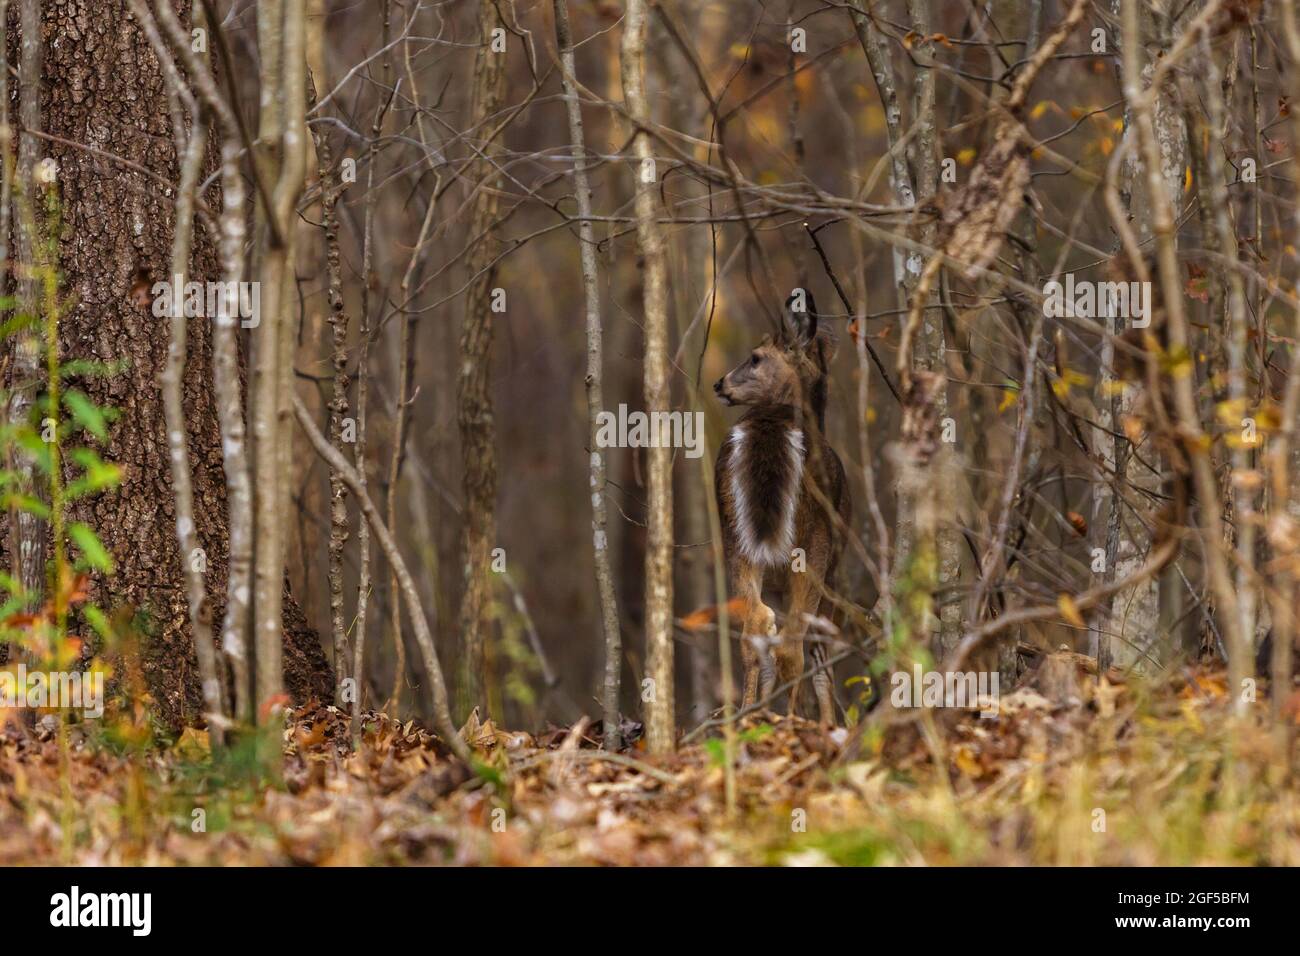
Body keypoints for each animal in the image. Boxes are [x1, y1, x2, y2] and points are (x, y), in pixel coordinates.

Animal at [713, 290, 851, 725]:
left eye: (755, 357)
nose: (719, 382)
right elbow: (820, 654)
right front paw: (827, 723)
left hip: (734, 539)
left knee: (757, 625)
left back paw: (748, 715)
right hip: (815, 544)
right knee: (794, 642)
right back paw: (795, 720)